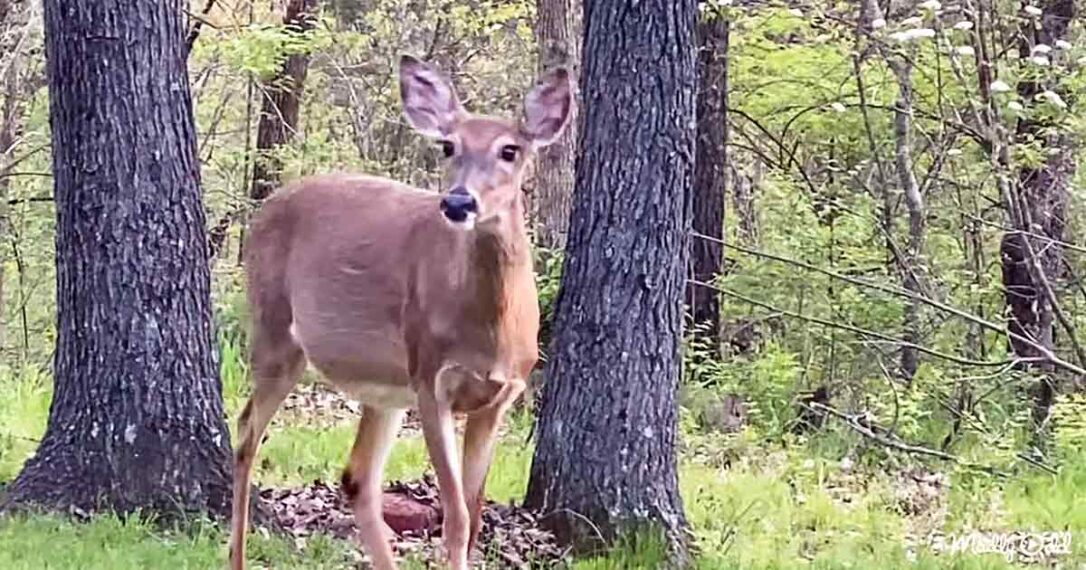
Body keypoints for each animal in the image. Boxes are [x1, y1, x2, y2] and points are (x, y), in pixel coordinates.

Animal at [228, 55, 574, 570]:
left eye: (510, 150)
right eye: (449, 146)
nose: (458, 201)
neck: (490, 330)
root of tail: (264, 208)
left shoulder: (501, 396)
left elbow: (474, 515)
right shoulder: (430, 378)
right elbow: (456, 517)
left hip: (385, 387)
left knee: (357, 476)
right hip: (276, 332)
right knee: (247, 430)